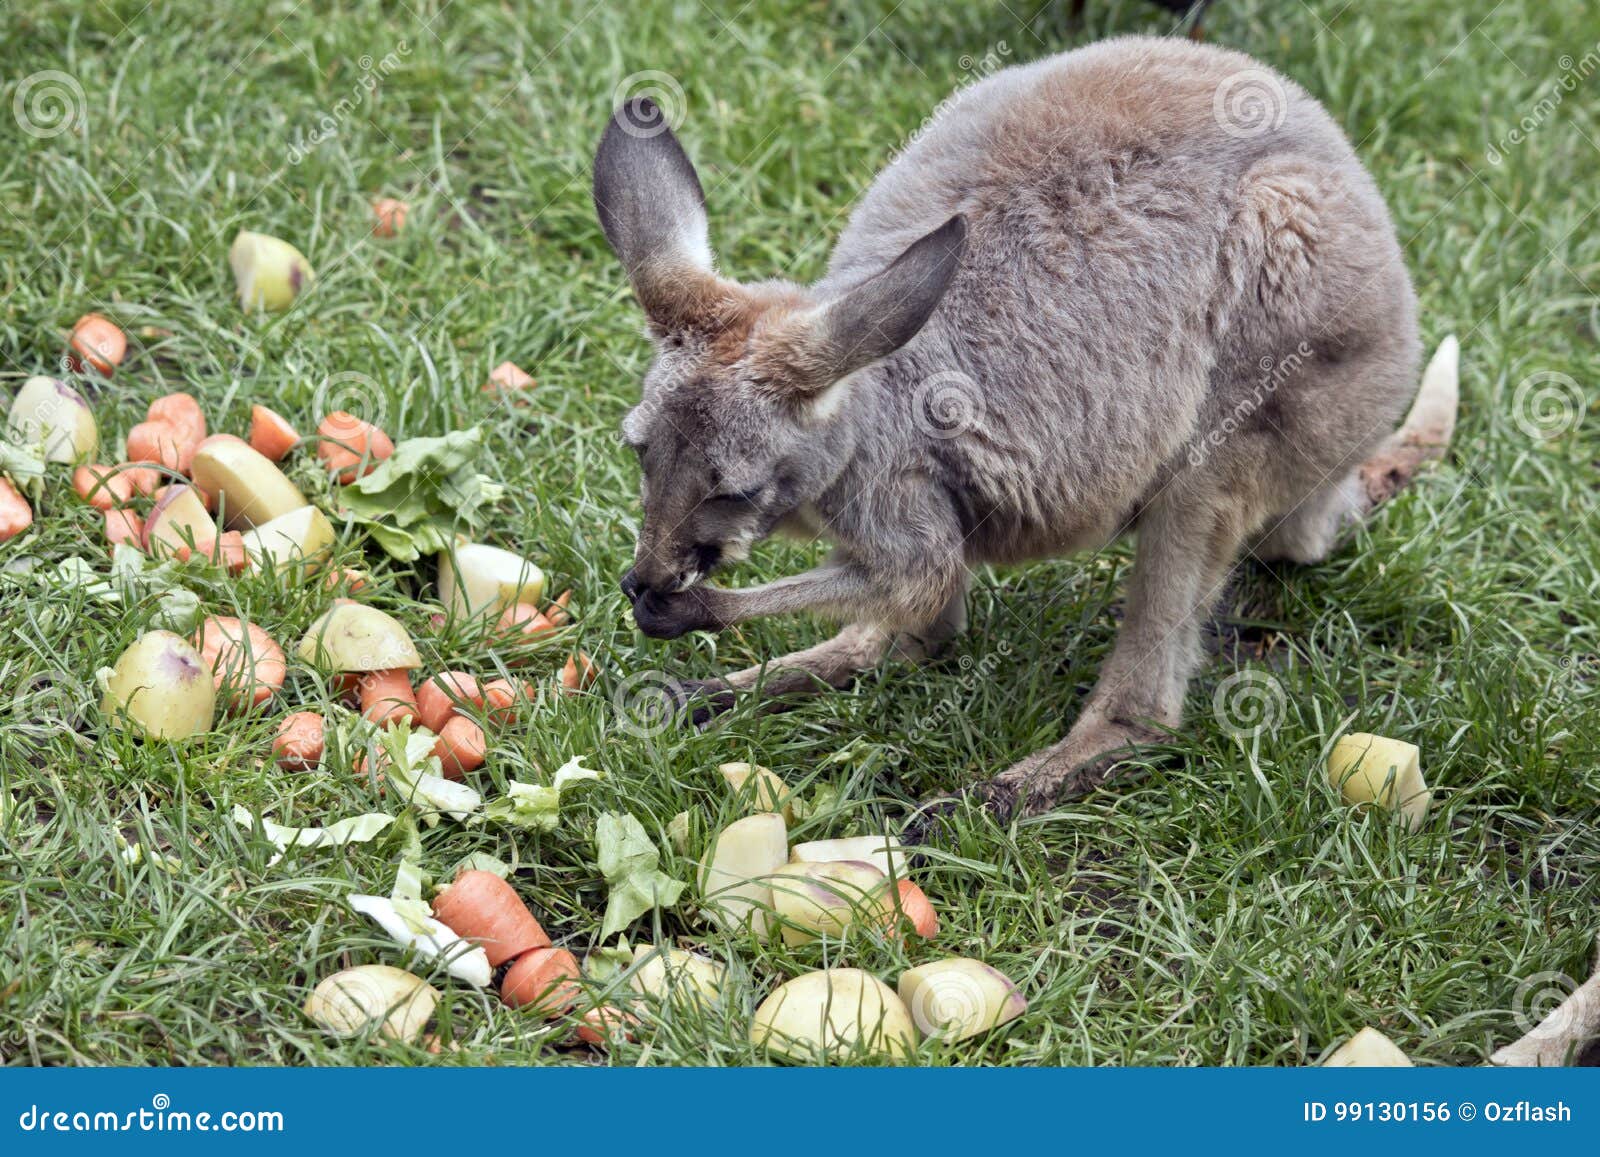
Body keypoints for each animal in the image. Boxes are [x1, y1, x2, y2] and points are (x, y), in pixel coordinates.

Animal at [591, 35, 1455, 834]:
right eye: (638, 451)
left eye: (733, 488)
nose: (641, 579)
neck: (868, 405)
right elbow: (916, 603)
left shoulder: (899, 493)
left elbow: (922, 577)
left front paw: (685, 610)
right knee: (917, 641)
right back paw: (716, 691)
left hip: (1265, 366)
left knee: (1145, 695)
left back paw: (984, 800)